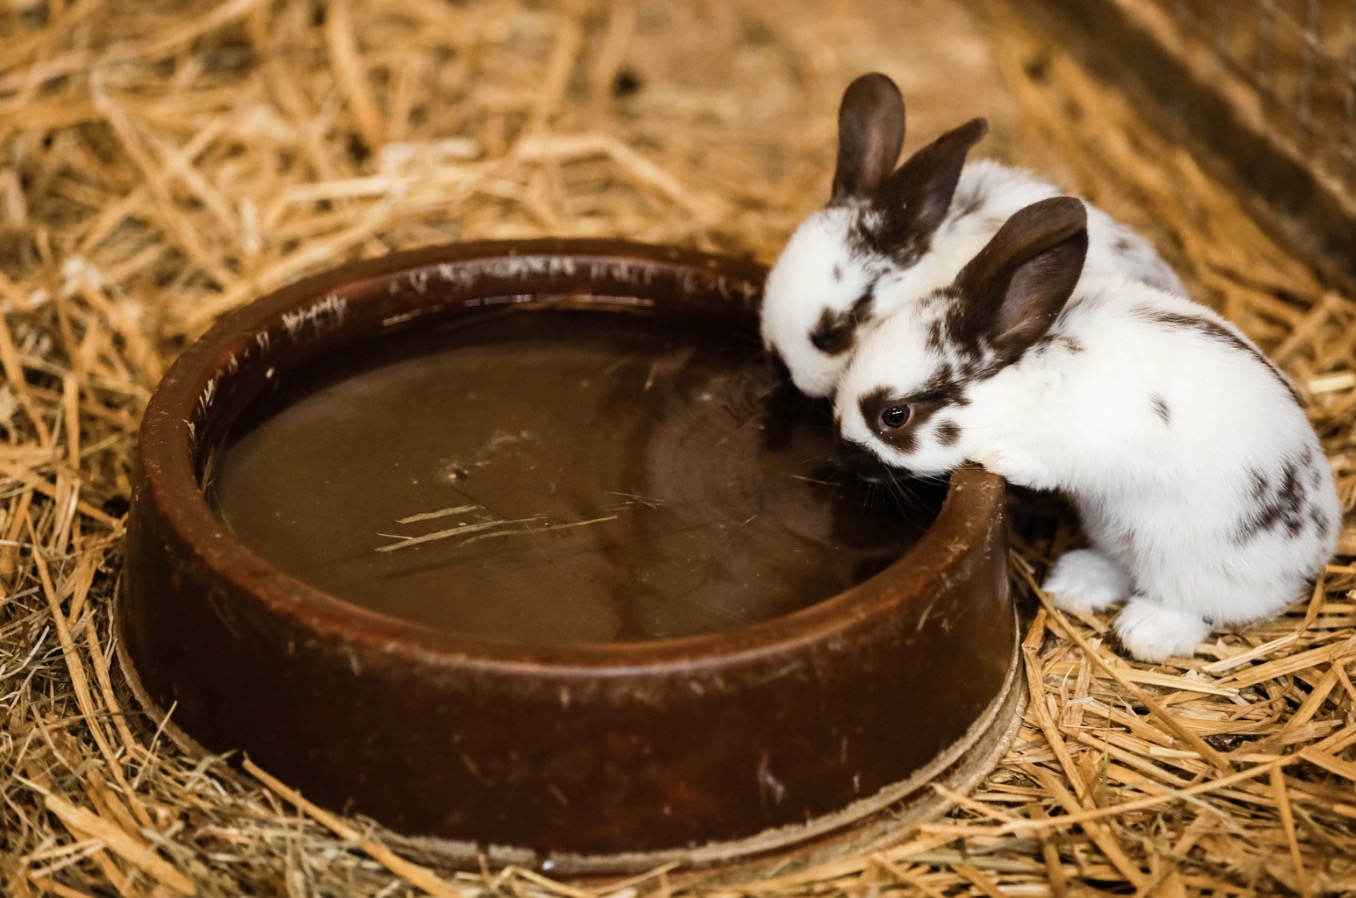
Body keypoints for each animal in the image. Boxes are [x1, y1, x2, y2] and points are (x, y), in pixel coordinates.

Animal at [833, 196, 1341, 662]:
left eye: (894, 415)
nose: (847, 457)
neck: (1017, 383)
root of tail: (1316, 548)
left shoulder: (1093, 444)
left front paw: (996, 458)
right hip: (1113, 527)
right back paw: (1074, 582)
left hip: (1188, 559)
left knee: (1198, 605)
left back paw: (1145, 631)